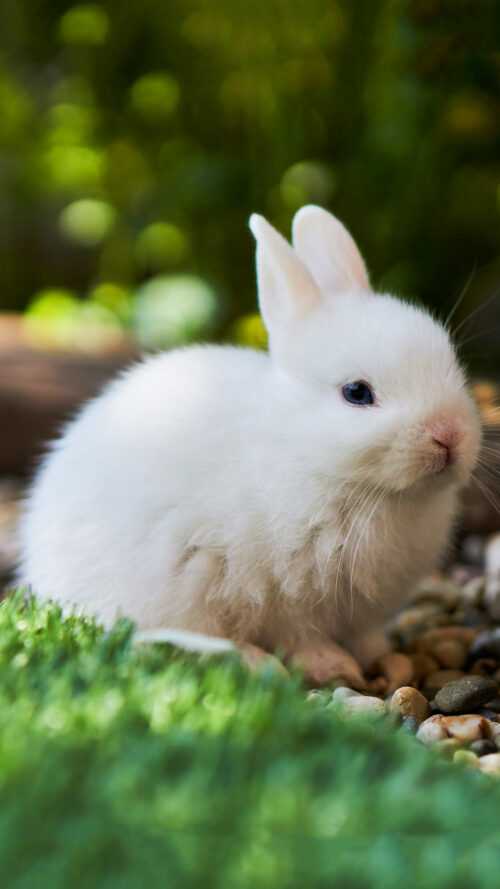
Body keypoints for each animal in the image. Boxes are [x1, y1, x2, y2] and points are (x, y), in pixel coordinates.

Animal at [18, 205, 481, 685]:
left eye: (451, 363)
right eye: (356, 392)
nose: (449, 435)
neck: (310, 457)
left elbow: (366, 635)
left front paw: (385, 657)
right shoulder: (283, 595)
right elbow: (301, 636)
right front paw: (333, 666)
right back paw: (253, 661)